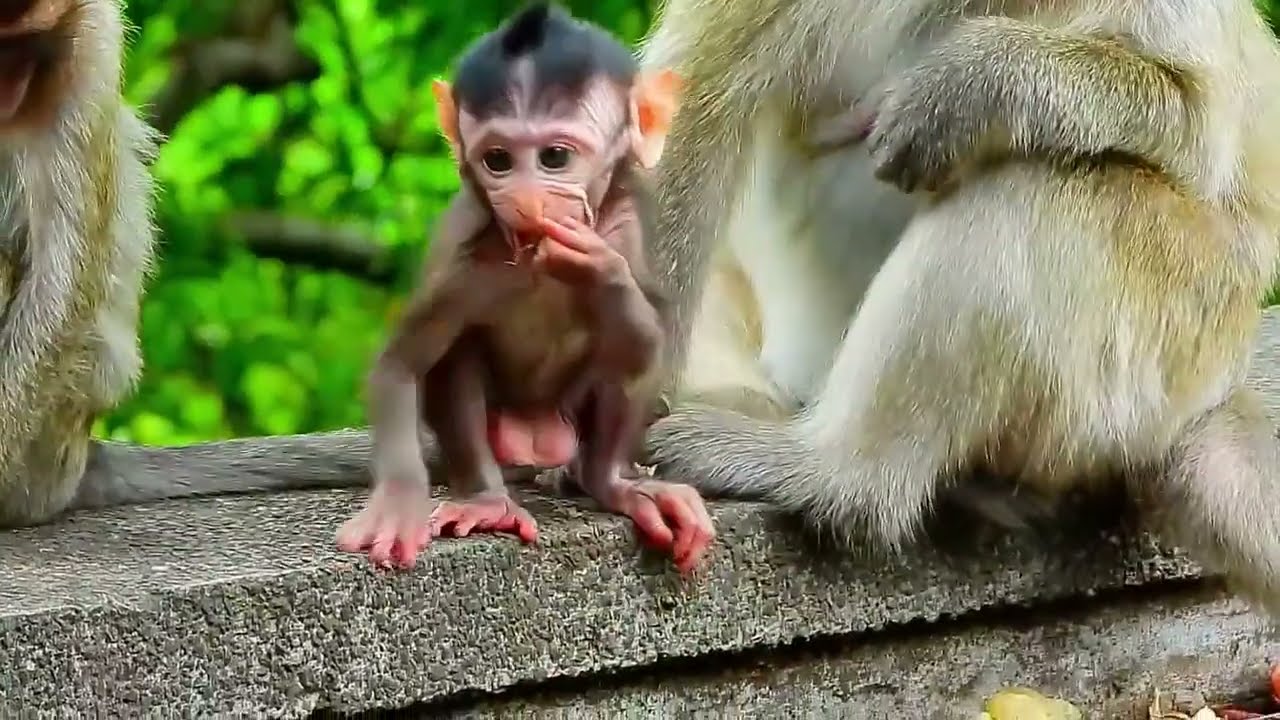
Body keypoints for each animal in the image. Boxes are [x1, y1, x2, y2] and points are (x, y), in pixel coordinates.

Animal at [334, 3, 716, 573]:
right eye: (498, 160)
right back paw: (488, 500)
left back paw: (612, 483)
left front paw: (600, 269)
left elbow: (648, 336)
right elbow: (399, 366)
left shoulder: (626, 228)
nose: (527, 201)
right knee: (458, 354)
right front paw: (398, 503)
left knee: (628, 358)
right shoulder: (470, 266)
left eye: (554, 158)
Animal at [632, 0, 1280, 617]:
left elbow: (1199, 120)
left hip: (1159, 354)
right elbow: (695, 99)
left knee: (1043, 183)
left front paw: (978, 81)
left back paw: (835, 471)